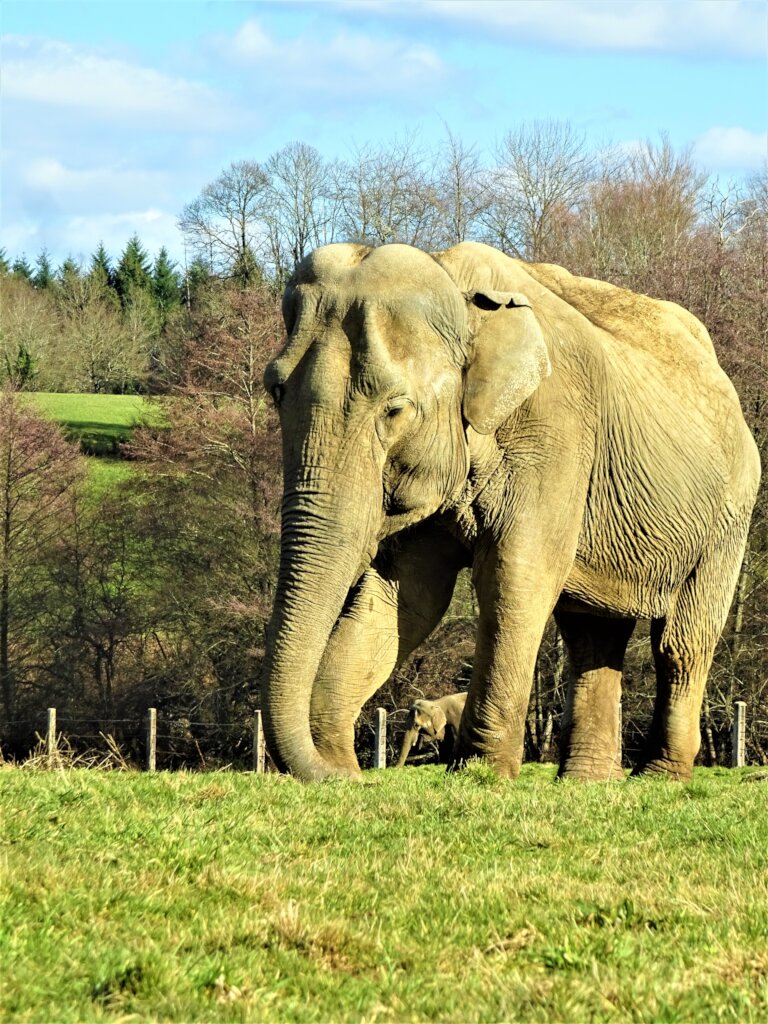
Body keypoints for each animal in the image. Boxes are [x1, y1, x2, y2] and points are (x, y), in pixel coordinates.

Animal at [261, 240, 760, 783]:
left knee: (681, 644)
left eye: (395, 409)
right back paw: (587, 782)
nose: (348, 775)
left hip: (729, 518)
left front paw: (478, 771)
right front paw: (338, 764)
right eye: (274, 391)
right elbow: (407, 596)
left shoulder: (555, 434)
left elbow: (515, 574)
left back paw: (658, 776)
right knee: (592, 636)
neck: (456, 283)